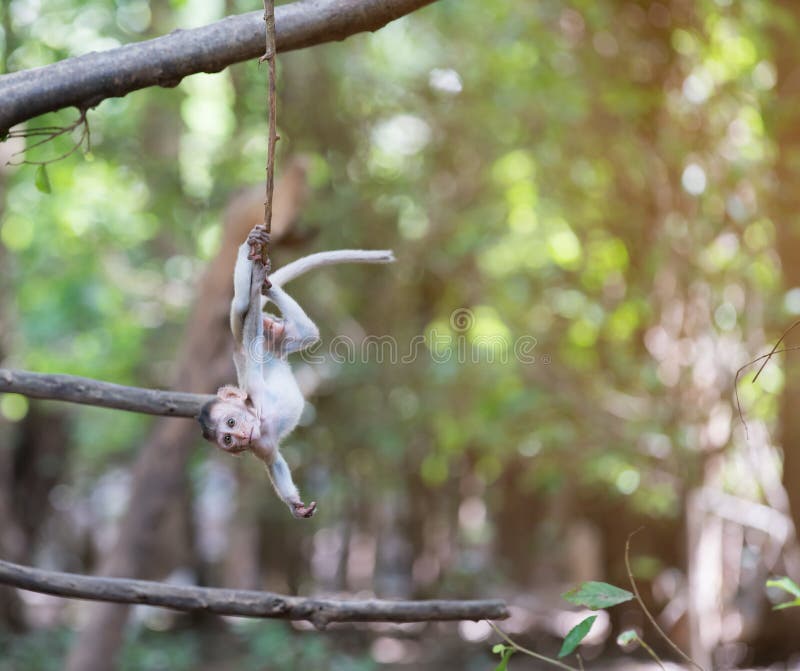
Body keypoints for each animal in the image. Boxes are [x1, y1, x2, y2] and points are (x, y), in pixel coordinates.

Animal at [197, 224, 394, 519]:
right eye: (229, 439)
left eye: (231, 423)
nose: (241, 436)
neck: (261, 419)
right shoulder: (260, 445)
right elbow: (275, 461)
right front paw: (295, 505)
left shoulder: (254, 387)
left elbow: (250, 328)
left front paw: (255, 263)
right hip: (281, 343)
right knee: (304, 333)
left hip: (264, 339)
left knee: (247, 310)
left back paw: (259, 271)